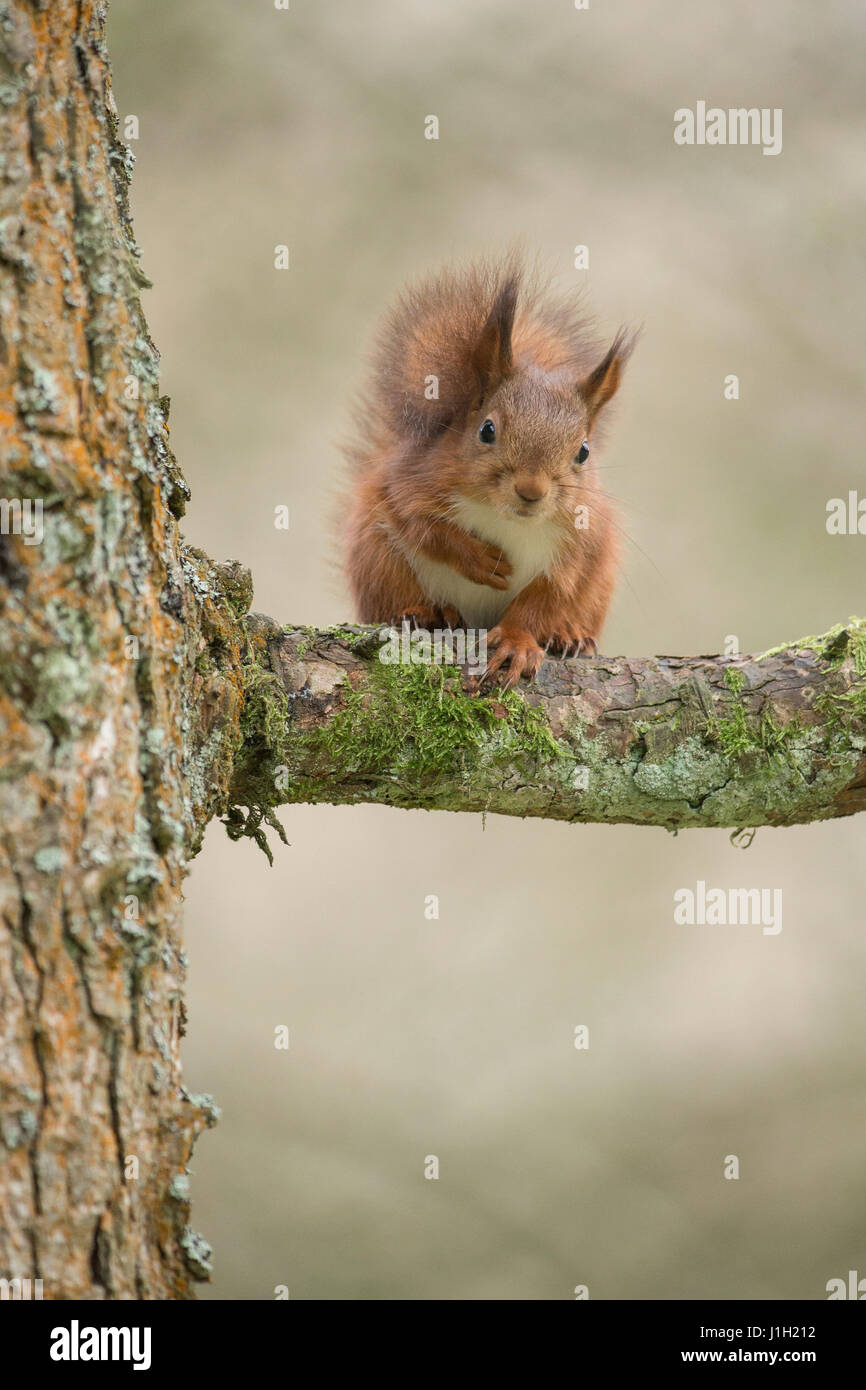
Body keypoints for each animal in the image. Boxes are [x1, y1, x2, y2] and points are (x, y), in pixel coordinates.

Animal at [342, 256, 635, 686]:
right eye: (487, 429)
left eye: (583, 452)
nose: (531, 491)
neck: (506, 519)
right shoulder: (410, 485)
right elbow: (423, 526)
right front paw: (482, 560)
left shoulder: (583, 544)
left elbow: (543, 600)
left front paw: (516, 642)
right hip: (376, 555)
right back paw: (425, 614)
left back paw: (569, 635)